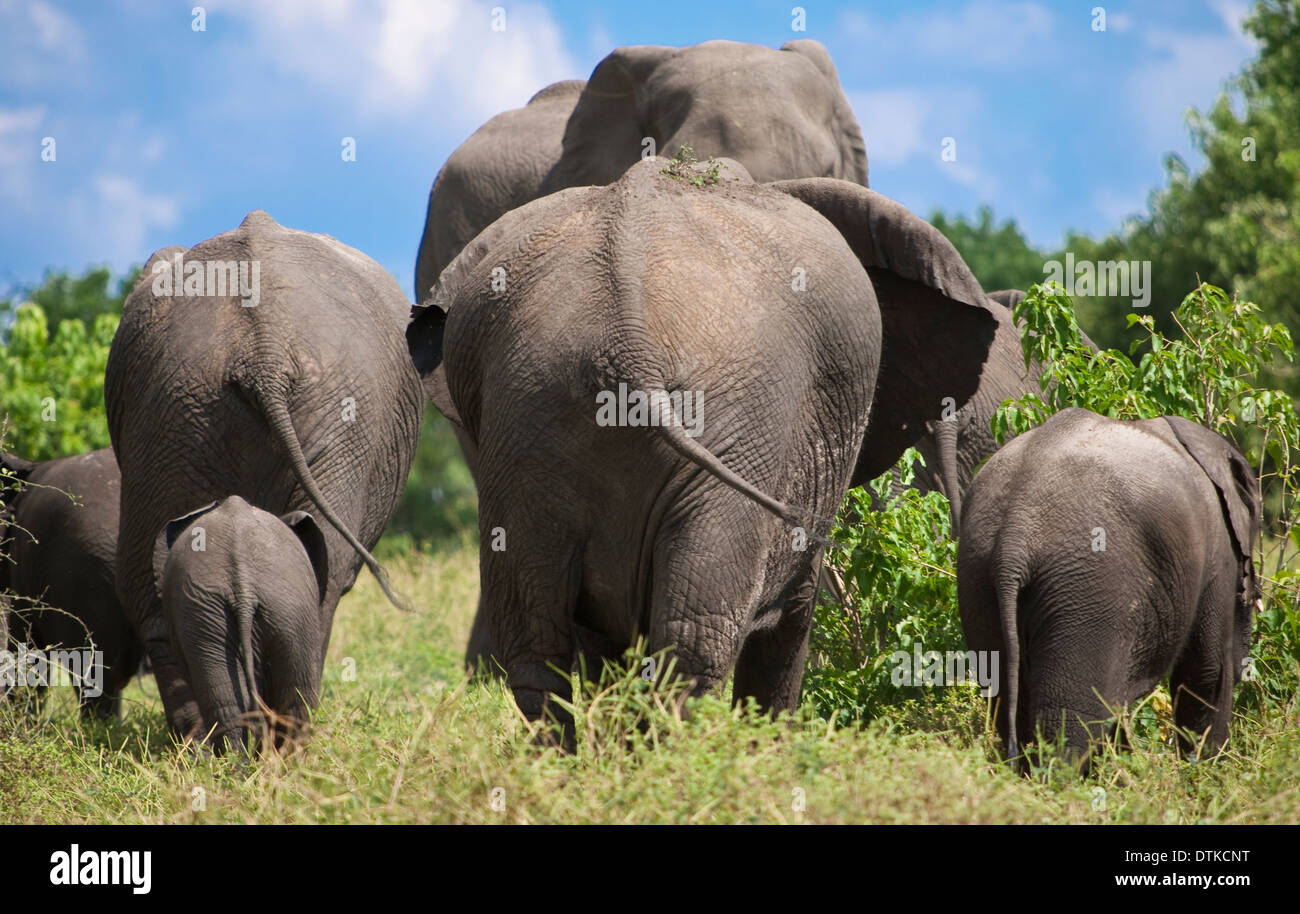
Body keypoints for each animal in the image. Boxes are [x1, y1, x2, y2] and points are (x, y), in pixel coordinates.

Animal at [407, 156, 997, 731]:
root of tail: (626, 334)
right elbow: (789, 623)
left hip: (528, 415)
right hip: (742, 418)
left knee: (537, 651)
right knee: (694, 645)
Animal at [956, 407, 1261, 768]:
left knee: (1008, 704)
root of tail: (1015, 534)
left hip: (977, 576)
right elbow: (1207, 671)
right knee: (1072, 720)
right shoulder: (1218, 551)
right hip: (1089, 589)